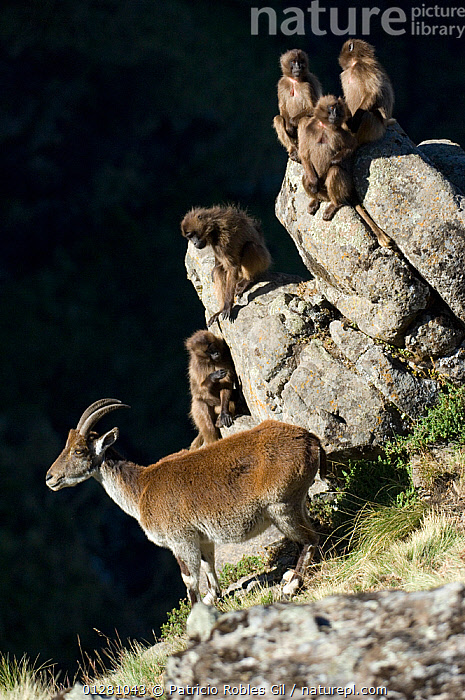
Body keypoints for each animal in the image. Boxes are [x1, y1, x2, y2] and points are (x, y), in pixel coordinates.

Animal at [46, 399, 326, 603]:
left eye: (79, 450)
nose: (50, 477)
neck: (141, 489)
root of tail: (311, 440)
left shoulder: (180, 539)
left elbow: (189, 579)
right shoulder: (202, 538)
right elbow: (208, 565)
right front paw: (214, 597)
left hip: (282, 506)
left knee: (309, 539)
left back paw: (292, 585)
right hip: (297, 502)